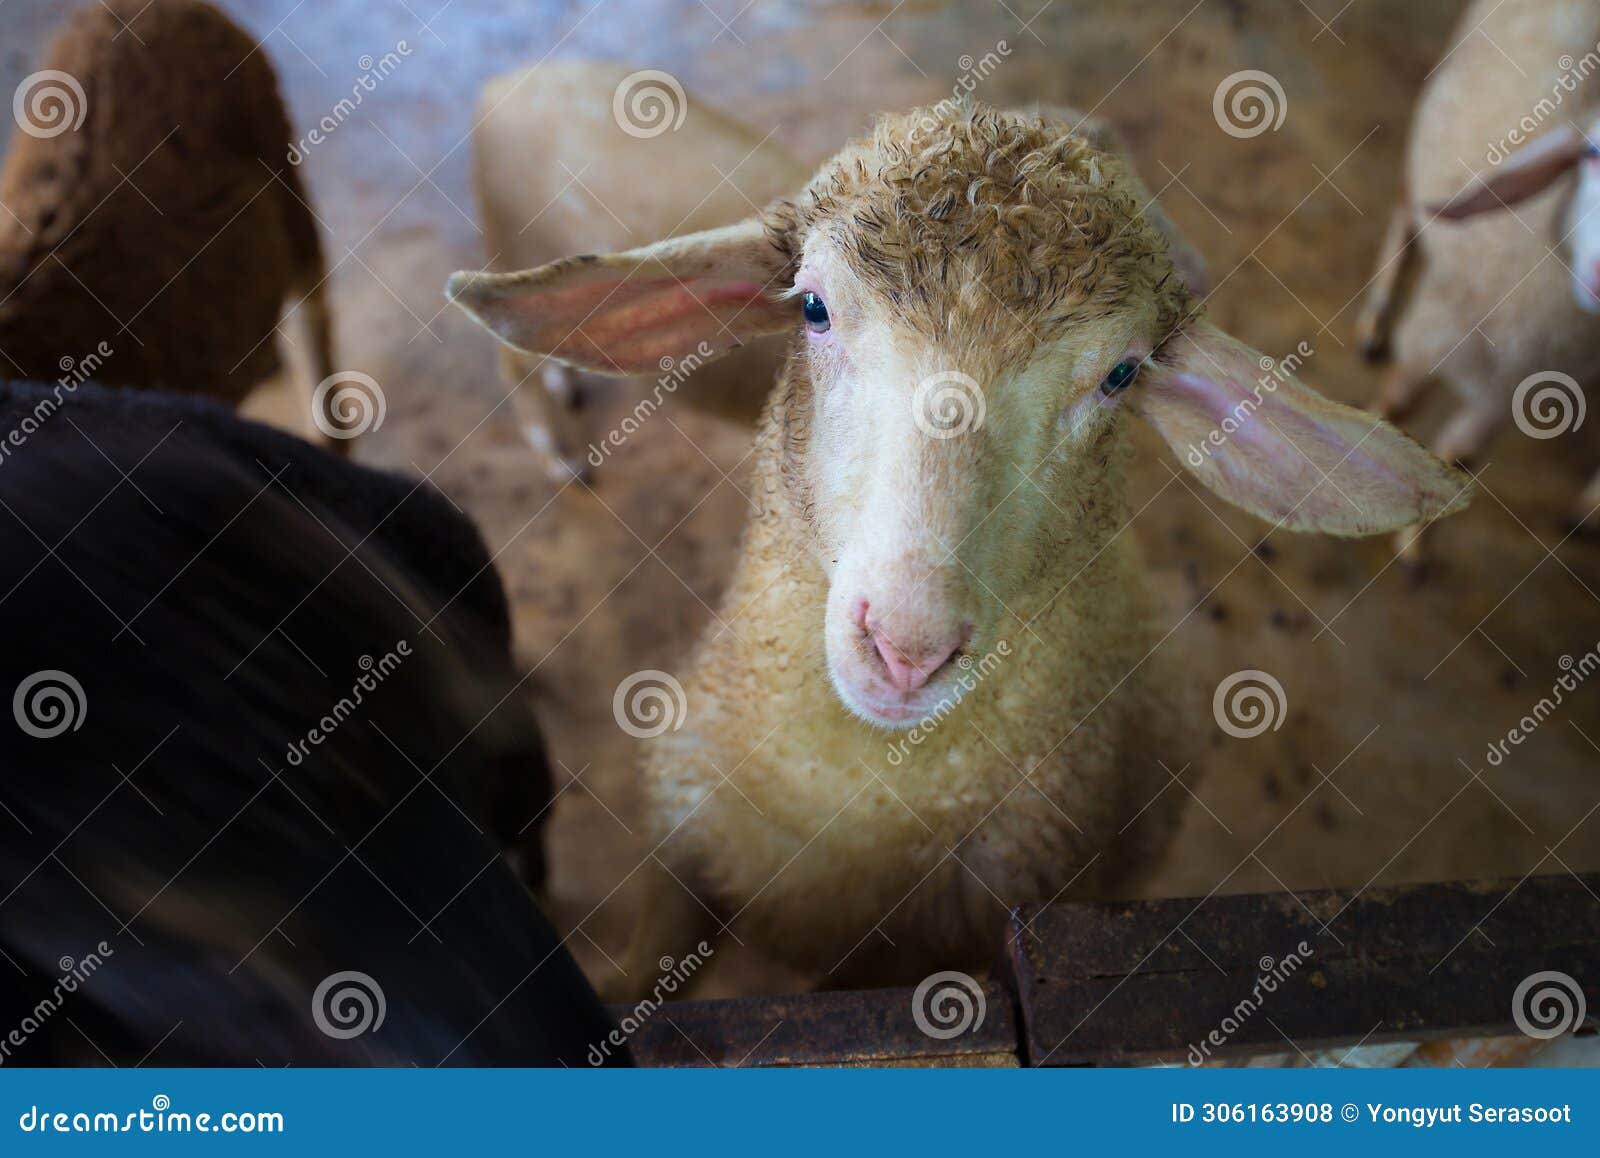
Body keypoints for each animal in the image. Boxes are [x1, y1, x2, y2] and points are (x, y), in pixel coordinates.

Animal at [1357, 0, 1600, 536]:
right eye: (1591, 152)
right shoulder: (1429, 337)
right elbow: (1399, 408)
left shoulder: (1512, 394)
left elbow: (1460, 455)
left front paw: (1415, 539)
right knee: (1407, 203)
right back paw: (1374, 317)